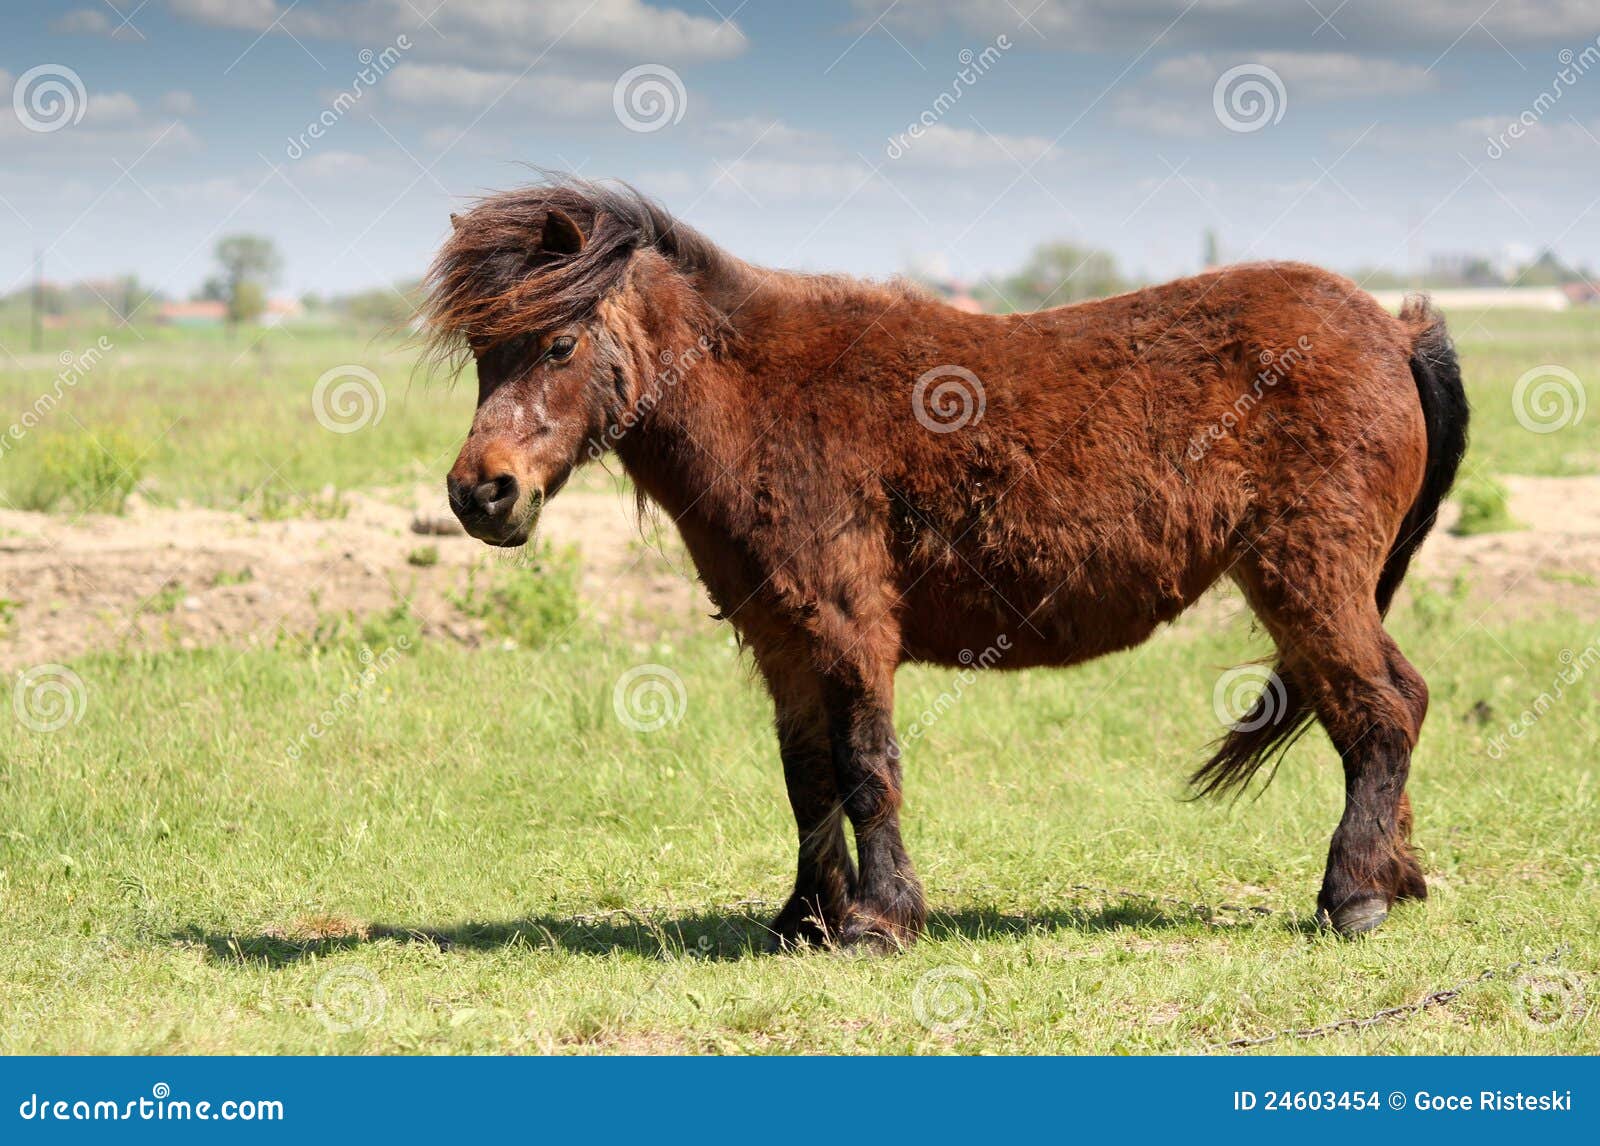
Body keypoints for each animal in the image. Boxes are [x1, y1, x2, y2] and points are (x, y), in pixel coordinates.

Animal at [427, 176, 1468, 950]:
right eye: (481, 348)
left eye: (559, 341)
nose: (481, 494)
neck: (763, 396)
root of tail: (1391, 330)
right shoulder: (784, 641)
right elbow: (807, 778)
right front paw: (803, 920)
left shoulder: (848, 628)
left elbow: (865, 767)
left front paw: (878, 922)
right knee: (1389, 704)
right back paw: (1399, 878)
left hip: (1308, 580)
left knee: (1382, 710)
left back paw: (1353, 897)